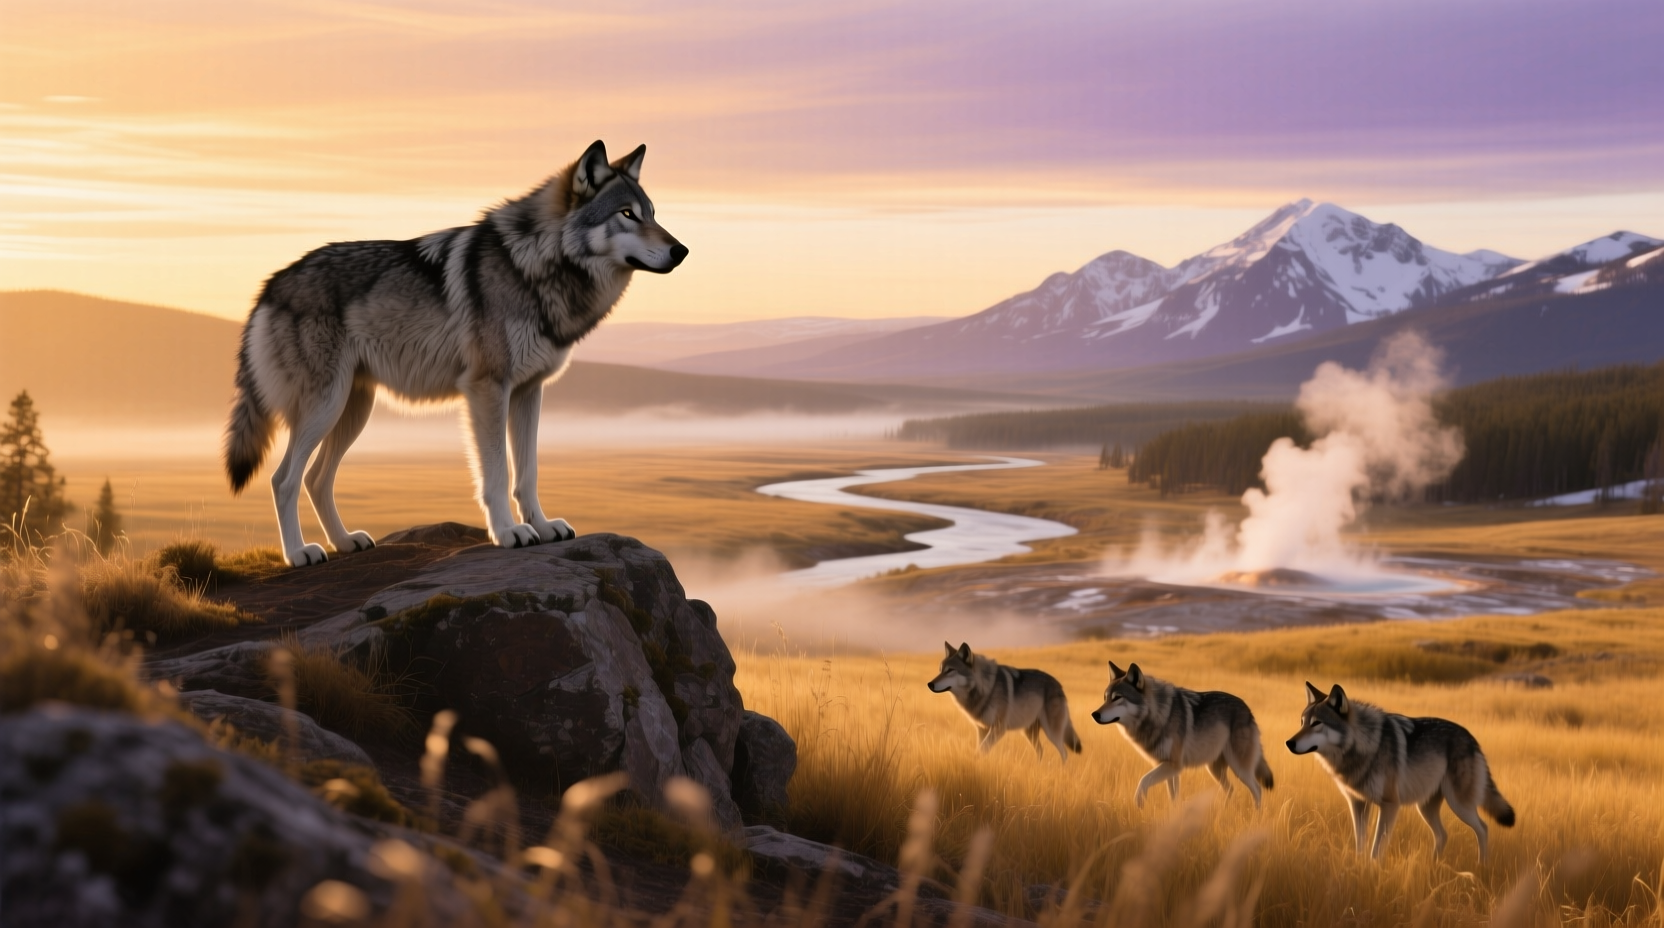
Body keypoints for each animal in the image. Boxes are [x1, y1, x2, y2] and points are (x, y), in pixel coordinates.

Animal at [222, 140, 686, 566]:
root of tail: (269, 286)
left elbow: (528, 473)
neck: (534, 266)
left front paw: (542, 525)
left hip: (353, 409)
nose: (681, 250)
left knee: (317, 479)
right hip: (325, 406)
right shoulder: (487, 388)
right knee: (284, 479)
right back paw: (300, 553)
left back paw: (345, 542)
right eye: (626, 214)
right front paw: (508, 533)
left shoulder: (528, 391)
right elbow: (496, 473)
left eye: (652, 213)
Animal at [928, 642, 1083, 763]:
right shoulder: (982, 729)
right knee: (1040, 751)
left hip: (1052, 733)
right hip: (1029, 733)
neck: (986, 688)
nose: (929, 684)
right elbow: (982, 750)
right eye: (940, 670)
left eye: (950, 670)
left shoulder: (998, 729)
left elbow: (981, 751)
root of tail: (1059, 685)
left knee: (1064, 753)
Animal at [1091, 662, 1274, 809]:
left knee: (1257, 790)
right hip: (1214, 769)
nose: (1094, 714)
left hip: (1239, 768)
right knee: (1231, 790)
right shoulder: (1167, 767)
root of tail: (1249, 711)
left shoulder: (1174, 765)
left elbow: (1143, 780)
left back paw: (1256, 817)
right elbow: (1173, 796)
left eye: (1117, 698)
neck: (1159, 714)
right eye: (1105, 698)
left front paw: (1139, 803)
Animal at [1286, 682, 1516, 862]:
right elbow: (1361, 846)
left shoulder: (1389, 805)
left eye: (1317, 723)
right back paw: (1432, 867)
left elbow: (1375, 850)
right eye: (1302, 722)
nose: (1289, 743)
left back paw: (1481, 867)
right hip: (1425, 808)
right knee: (1443, 835)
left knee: (1483, 828)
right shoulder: (1358, 803)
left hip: (1459, 805)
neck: (1365, 745)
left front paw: (1372, 874)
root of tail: (1473, 739)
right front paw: (1358, 870)